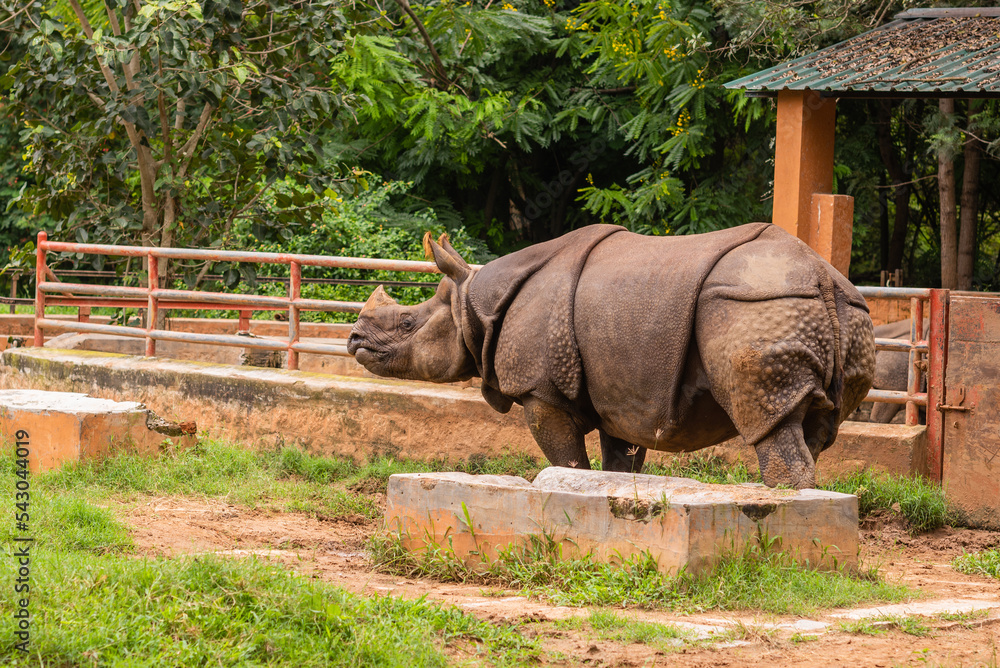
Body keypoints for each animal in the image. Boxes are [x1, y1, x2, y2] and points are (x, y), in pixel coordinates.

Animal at [347, 223, 876, 489]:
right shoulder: (623, 394)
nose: (352, 340)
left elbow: (567, 460)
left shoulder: (541, 391)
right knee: (815, 428)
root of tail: (823, 277)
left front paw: (565, 486)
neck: (476, 304)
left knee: (767, 419)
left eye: (408, 323)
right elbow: (619, 462)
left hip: (753, 306)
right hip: (843, 314)